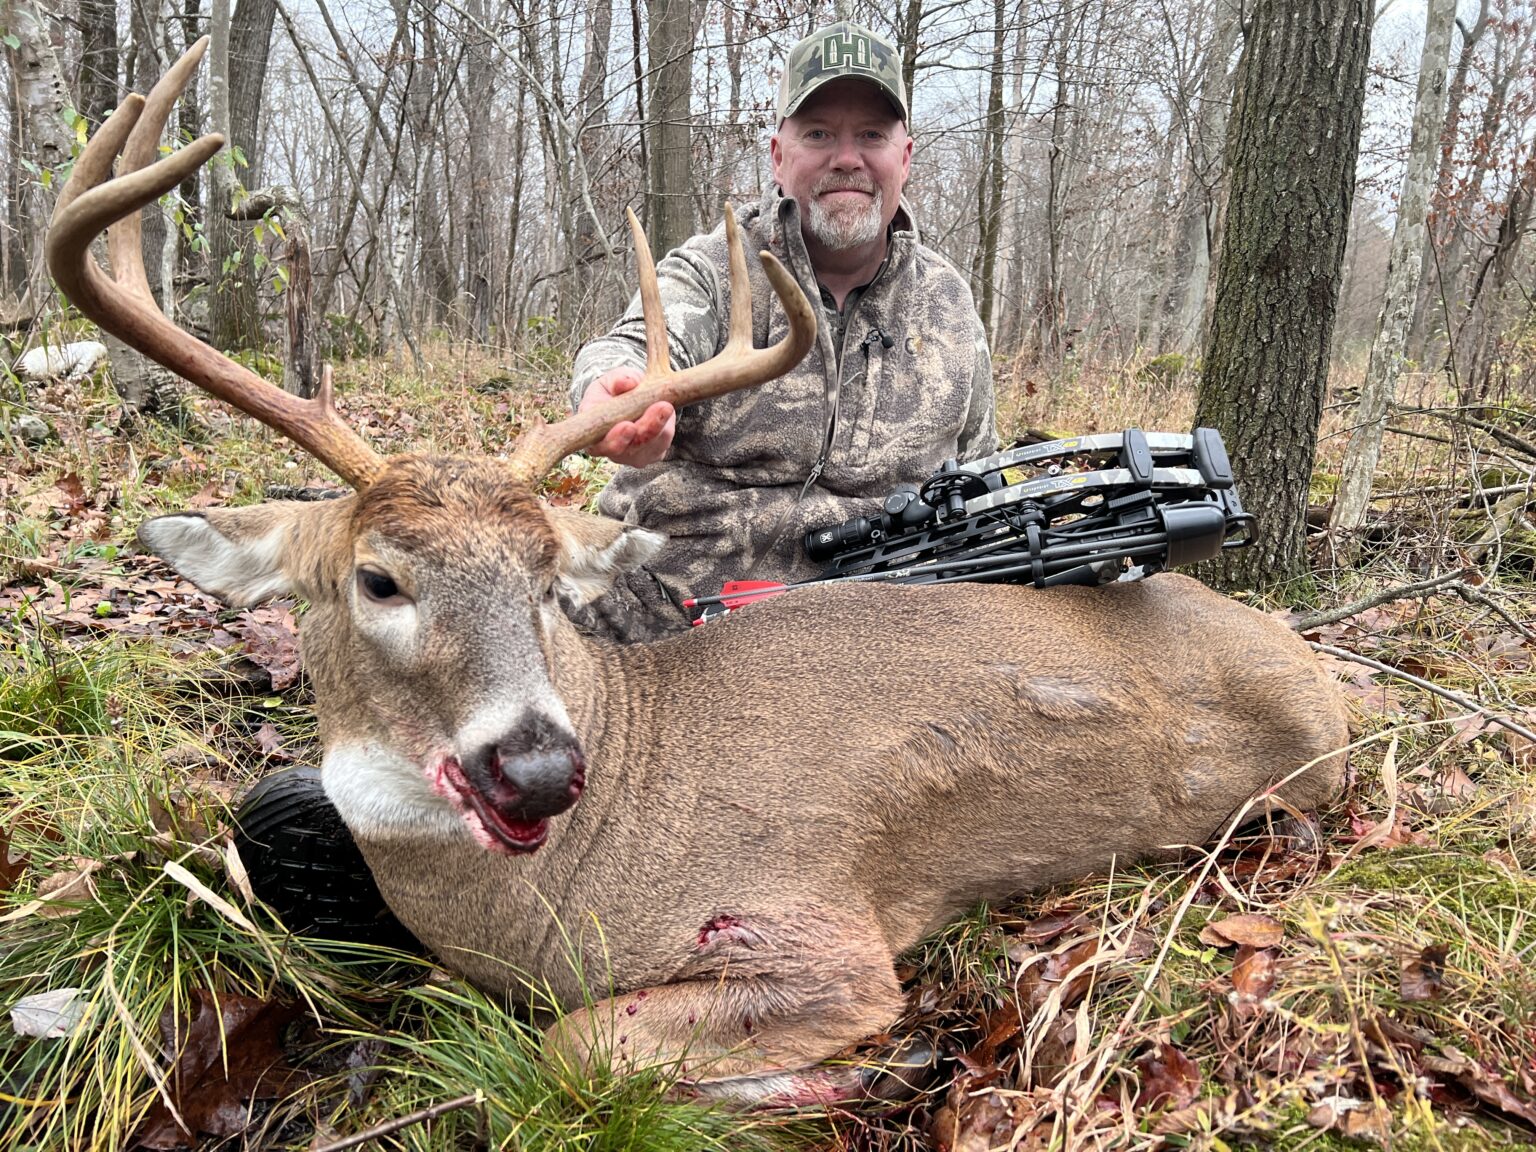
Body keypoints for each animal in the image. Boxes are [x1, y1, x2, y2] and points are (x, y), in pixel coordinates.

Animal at [48, 42, 1350, 1106]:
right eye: (378, 579)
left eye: (546, 580)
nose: (539, 767)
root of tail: (1323, 665)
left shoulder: (829, 935)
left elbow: (573, 1045)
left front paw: (845, 1079)